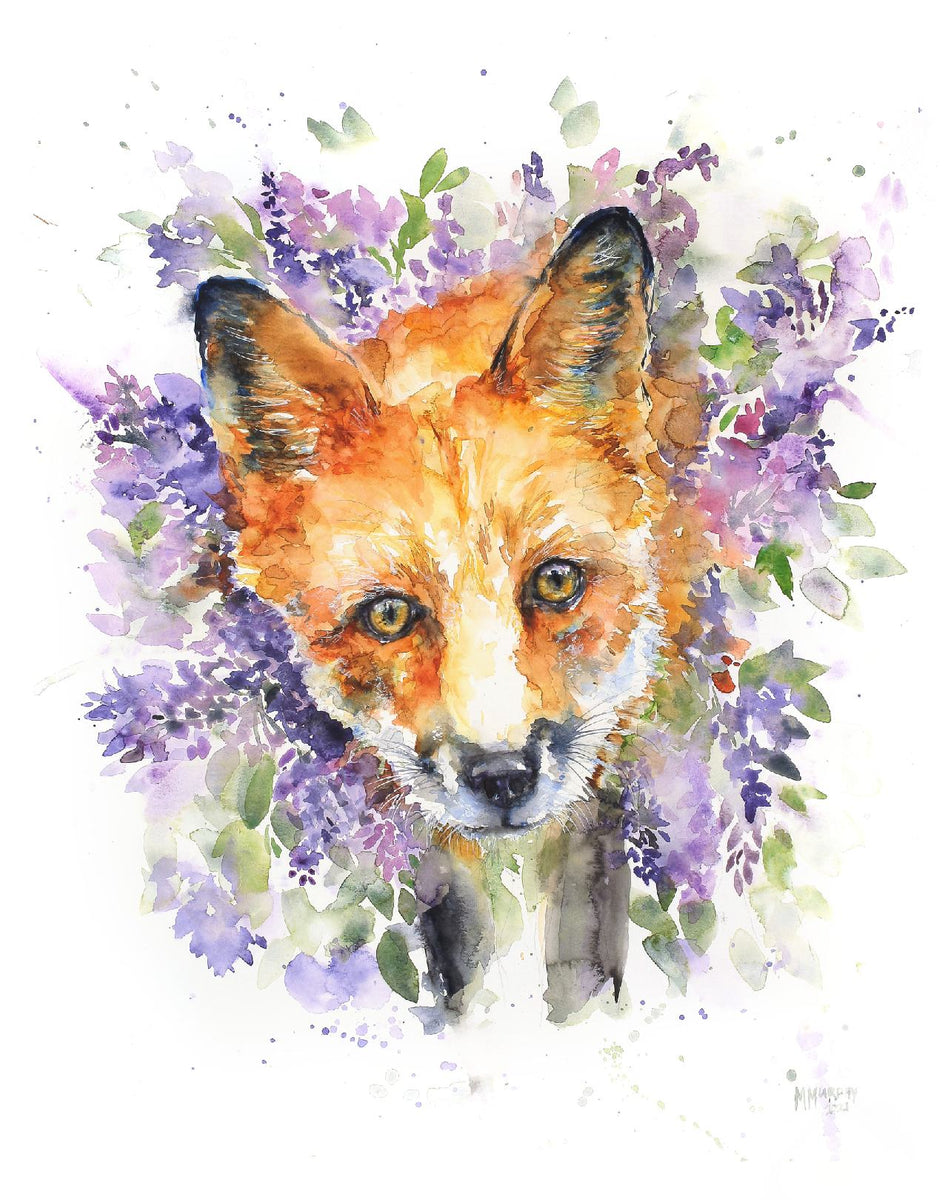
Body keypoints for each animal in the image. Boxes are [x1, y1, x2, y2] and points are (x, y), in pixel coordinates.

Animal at [194, 207, 709, 1022]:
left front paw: (578, 1012)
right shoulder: (433, 822)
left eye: (556, 581)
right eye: (389, 617)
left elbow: (583, 942)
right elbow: (461, 943)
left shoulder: (603, 774)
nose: (503, 779)